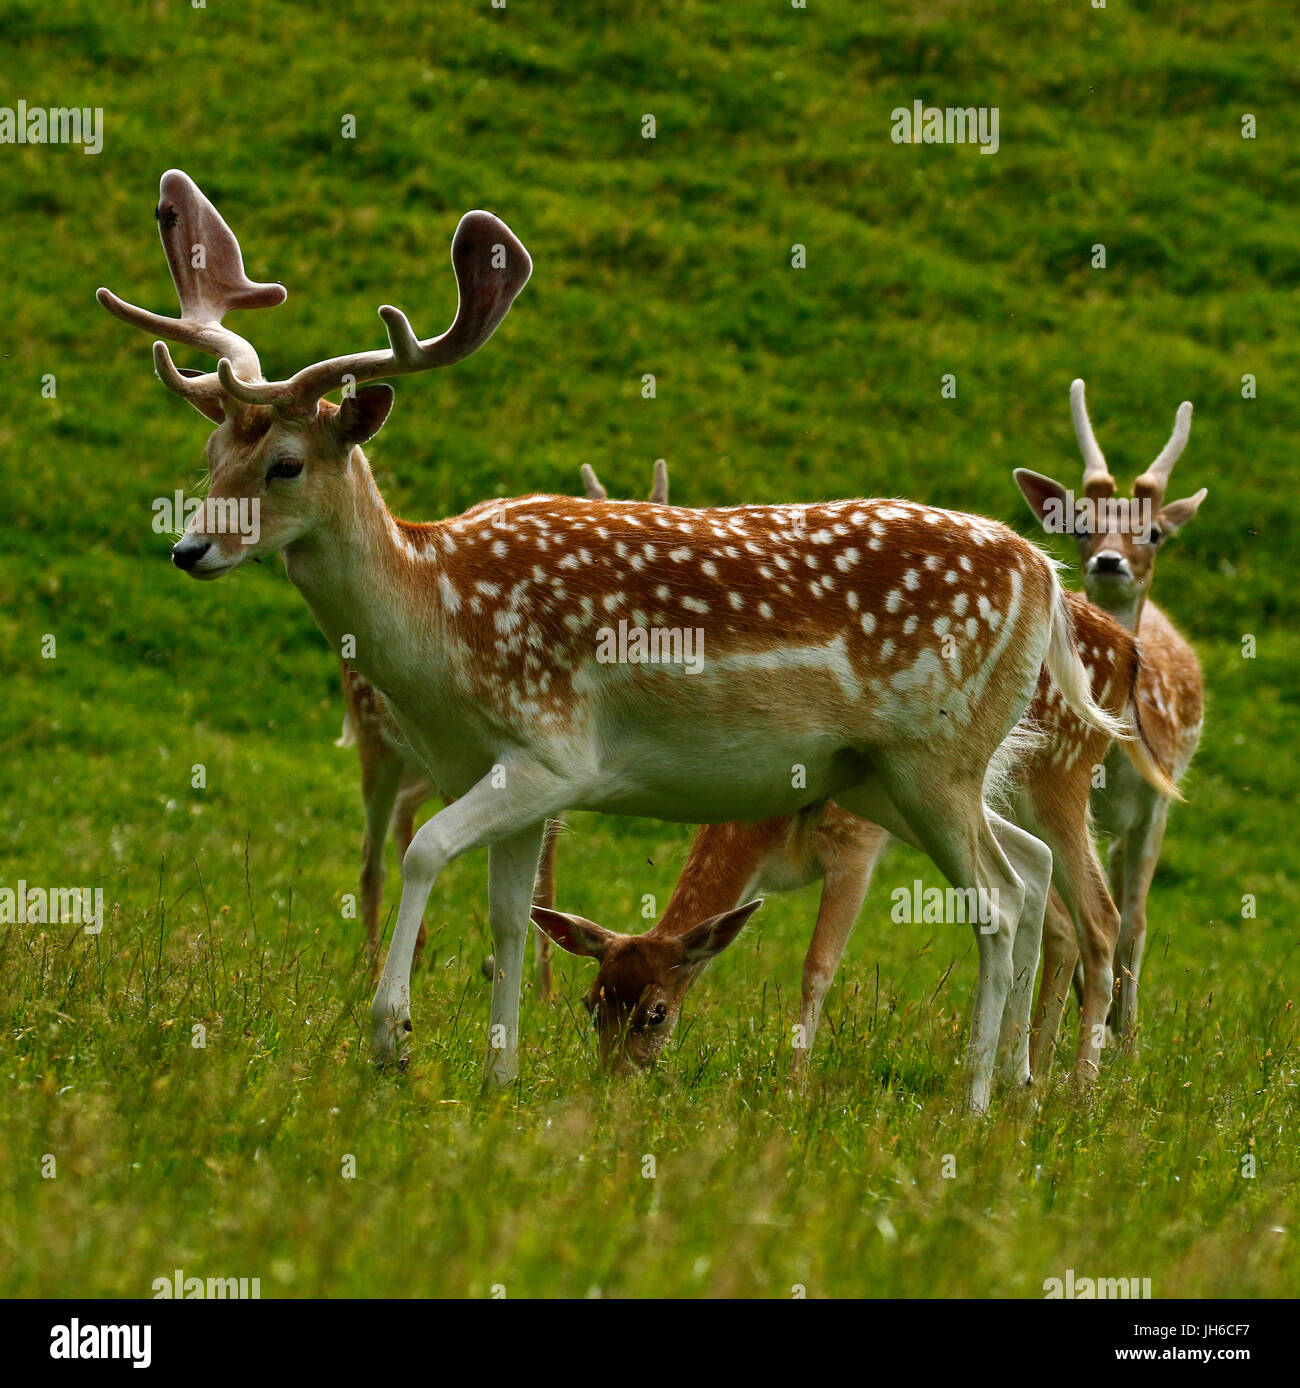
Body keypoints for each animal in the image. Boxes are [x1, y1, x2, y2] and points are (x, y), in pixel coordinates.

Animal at [338, 462, 670, 988]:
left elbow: (543, 877)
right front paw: (542, 986)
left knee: (403, 814)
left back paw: (417, 949)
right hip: (375, 739)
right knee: (372, 855)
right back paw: (373, 967)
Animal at [1014, 381, 1205, 1070]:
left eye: (1153, 531)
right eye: (1079, 524)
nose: (1109, 561)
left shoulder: (1157, 806)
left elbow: (1136, 922)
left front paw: (1128, 1041)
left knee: (1130, 914)